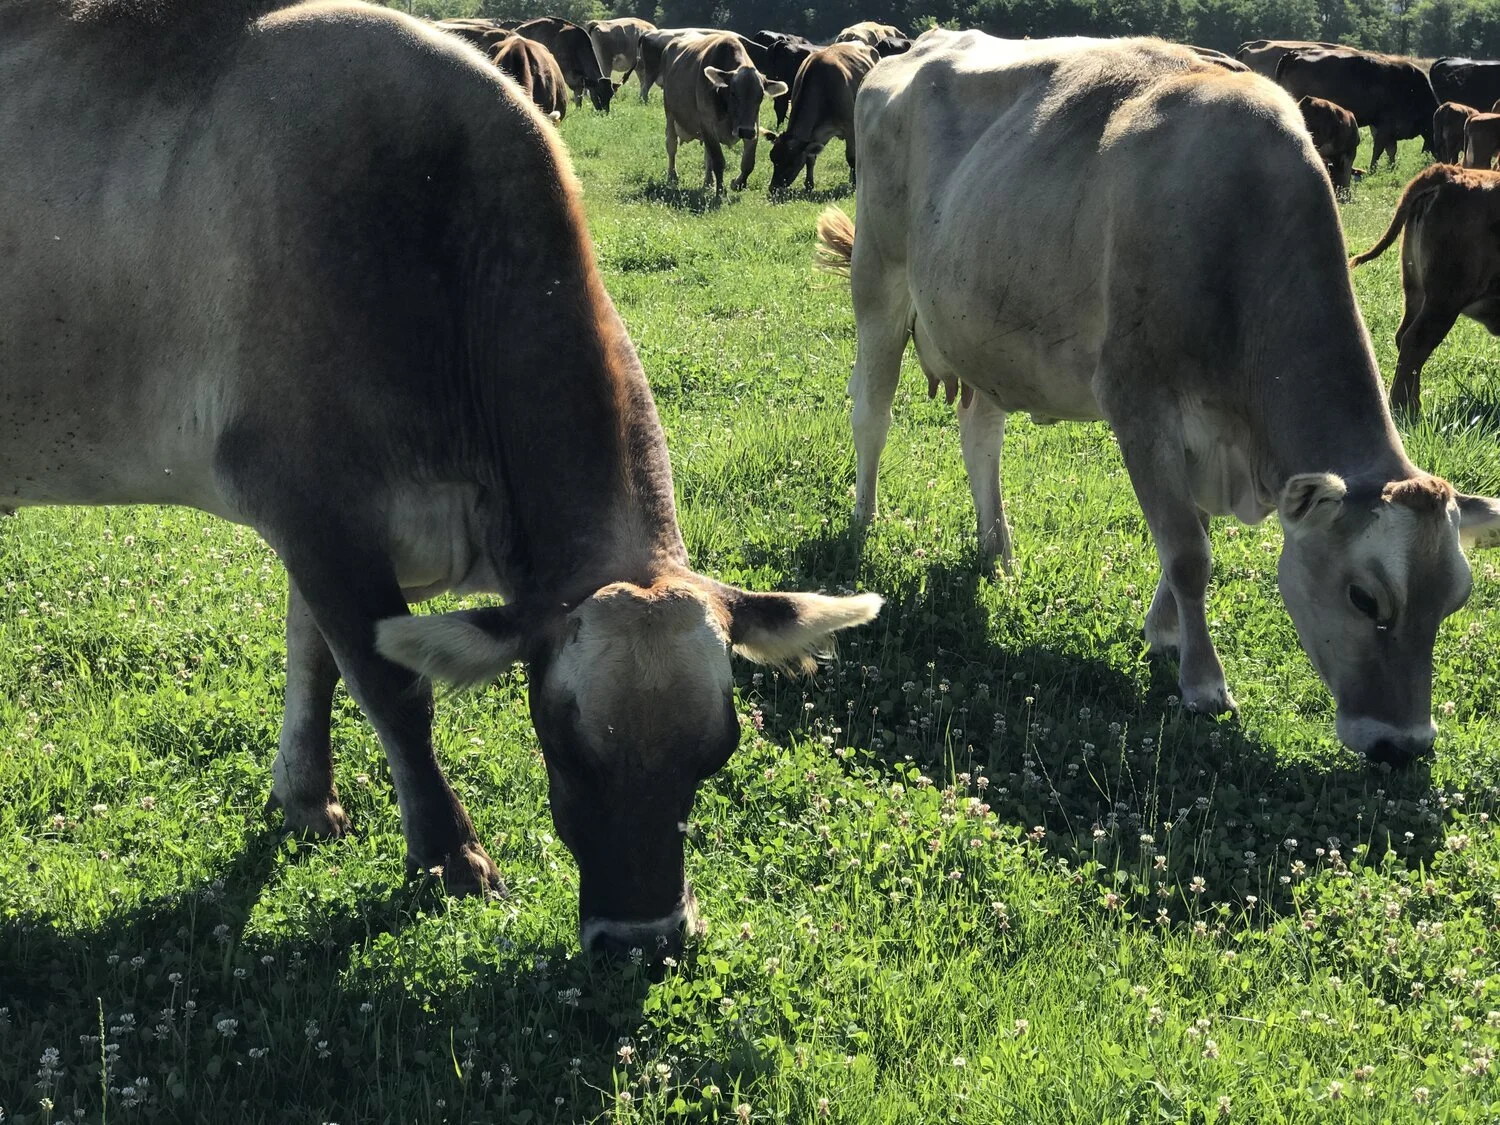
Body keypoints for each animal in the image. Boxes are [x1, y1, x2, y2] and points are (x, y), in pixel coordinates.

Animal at [661, 32, 787, 192]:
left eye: (761, 96)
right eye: (733, 93)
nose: (745, 131)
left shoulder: (754, 127)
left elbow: (748, 163)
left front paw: (737, 183)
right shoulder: (708, 125)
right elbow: (718, 161)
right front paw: (720, 192)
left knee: (707, 155)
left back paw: (708, 182)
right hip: (670, 114)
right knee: (672, 146)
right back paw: (672, 176)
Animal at [768, 42, 879, 192]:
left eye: (790, 163)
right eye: (773, 158)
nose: (773, 188)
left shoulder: (850, 128)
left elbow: (851, 157)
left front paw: (855, 185)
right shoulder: (814, 135)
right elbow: (810, 158)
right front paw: (809, 185)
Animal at [1277, 47, 1437, 166]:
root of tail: (1295, 54)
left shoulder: (1381, 126)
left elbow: (1391, 150)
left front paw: (1391, 168)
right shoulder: (1386, 125)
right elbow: (1379, 149)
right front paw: (1373, 169)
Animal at [1351, 164, 1500, 414]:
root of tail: (1447, 173)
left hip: (1415, 293)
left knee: (1404, 339)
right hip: (1444, 301)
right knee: (1416, 342)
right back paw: (1403, 409)